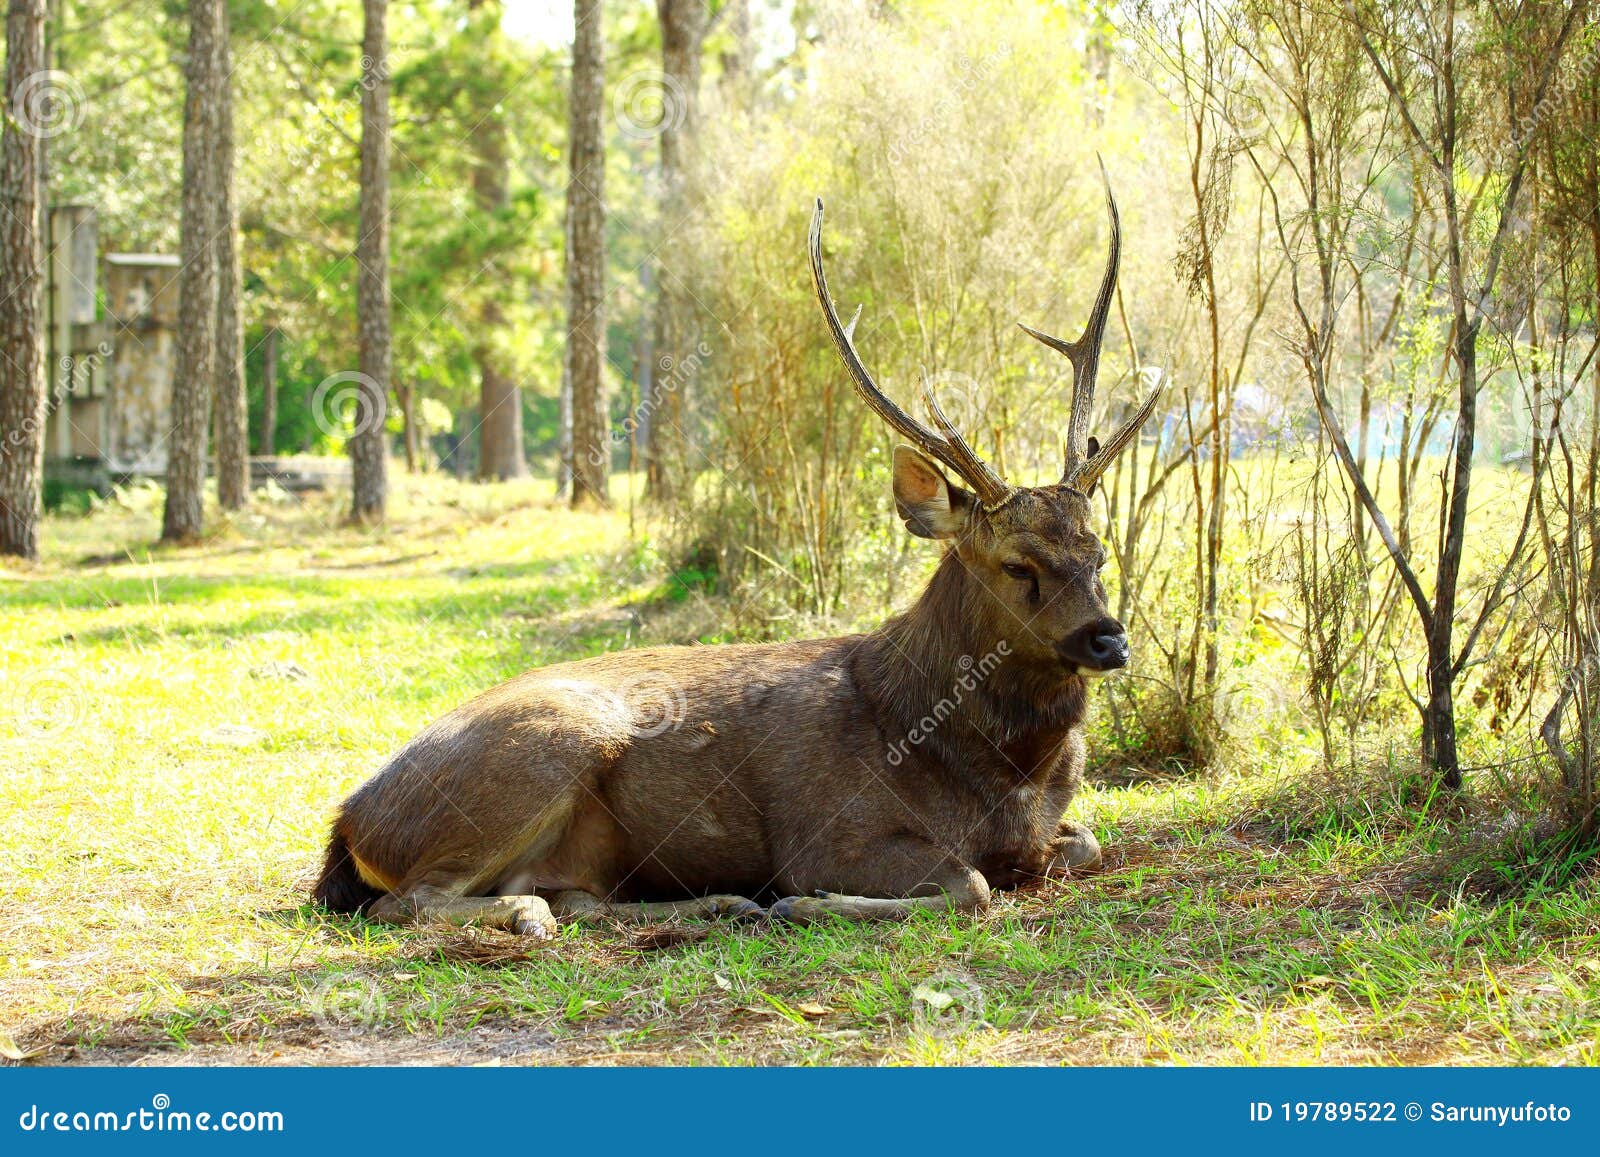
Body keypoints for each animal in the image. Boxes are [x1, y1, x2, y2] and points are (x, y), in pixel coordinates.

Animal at [313, 180, 1162, 935]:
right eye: (1017, 564)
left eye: (1098, 553)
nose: (1107, 637)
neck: (1002, 776)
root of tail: (350, 821)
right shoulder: (827, 828)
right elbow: (972, 884)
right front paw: (803, 904)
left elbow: (1085, 841)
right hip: (542, 750)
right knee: (407, 900)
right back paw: (552, 914)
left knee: (577, 895)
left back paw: (712, 904)